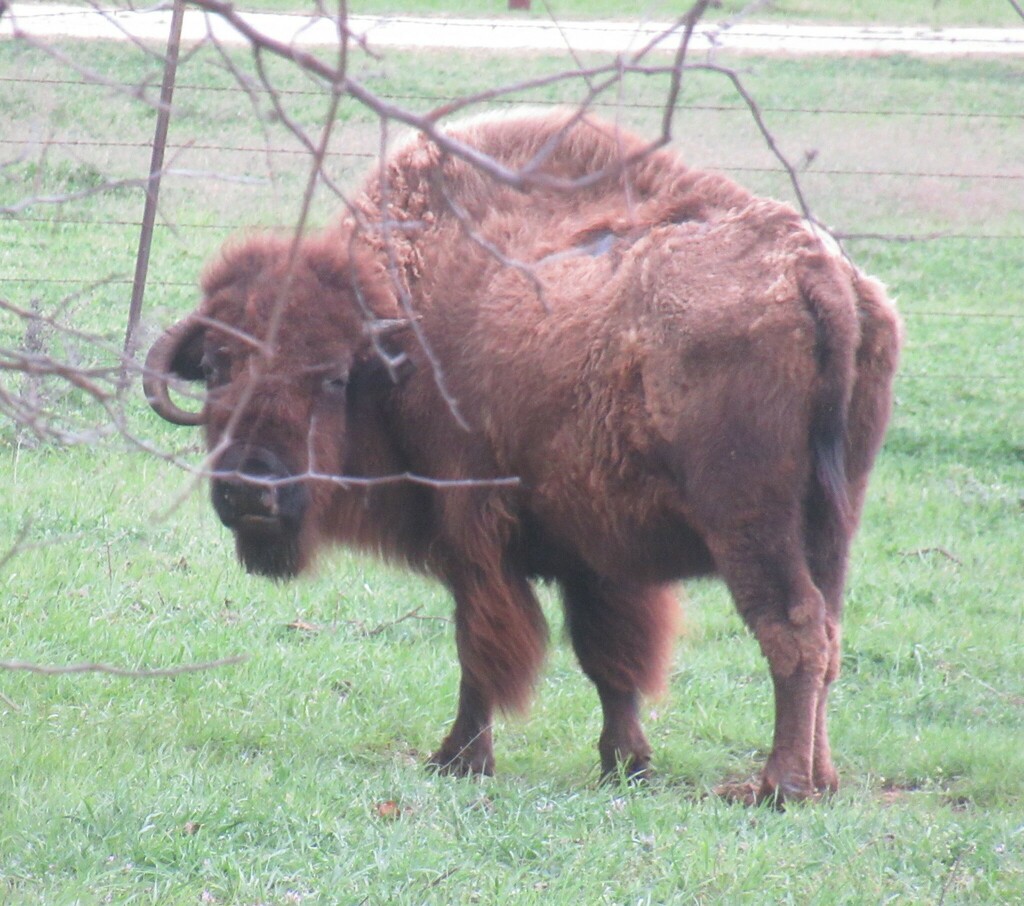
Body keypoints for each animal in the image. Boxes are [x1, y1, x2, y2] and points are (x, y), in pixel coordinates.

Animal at [143, 109, 901, 804]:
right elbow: (610, 660)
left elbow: (483, 645)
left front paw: (459, 758)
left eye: (330, 377)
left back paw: (778, 786)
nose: (249, 491)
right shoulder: (597, 555)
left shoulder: (473, 533)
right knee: (828, 631)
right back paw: (821, 777)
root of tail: (816, 273)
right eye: (214, 368)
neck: (403, 326)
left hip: (749, 523)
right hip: (834, 520)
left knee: (792, 628)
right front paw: (625, 763)